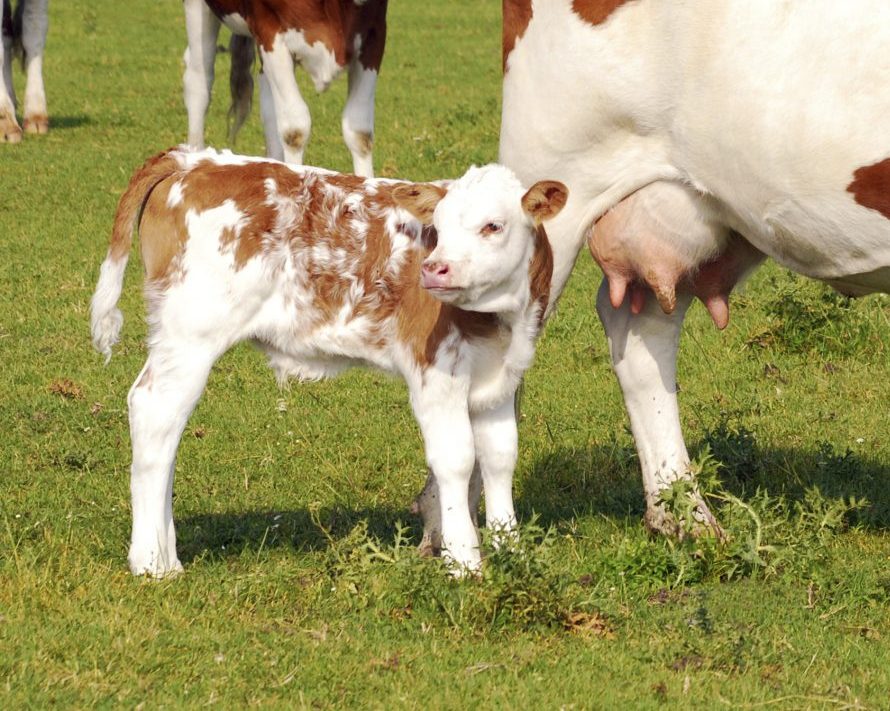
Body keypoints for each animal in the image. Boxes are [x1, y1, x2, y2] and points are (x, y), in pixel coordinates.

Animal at [90, 145, 567, 576]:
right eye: (440, 226)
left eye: (493, 226)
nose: (435, 269)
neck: (501, 320)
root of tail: (195, 159)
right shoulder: (435, 371)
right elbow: (457, 459)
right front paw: (465, 561)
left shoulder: (499, 378)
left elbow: (500, 456)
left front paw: (511, 549)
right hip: (190, 334)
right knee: (154, 413)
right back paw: (153, 562)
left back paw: (166, 554)